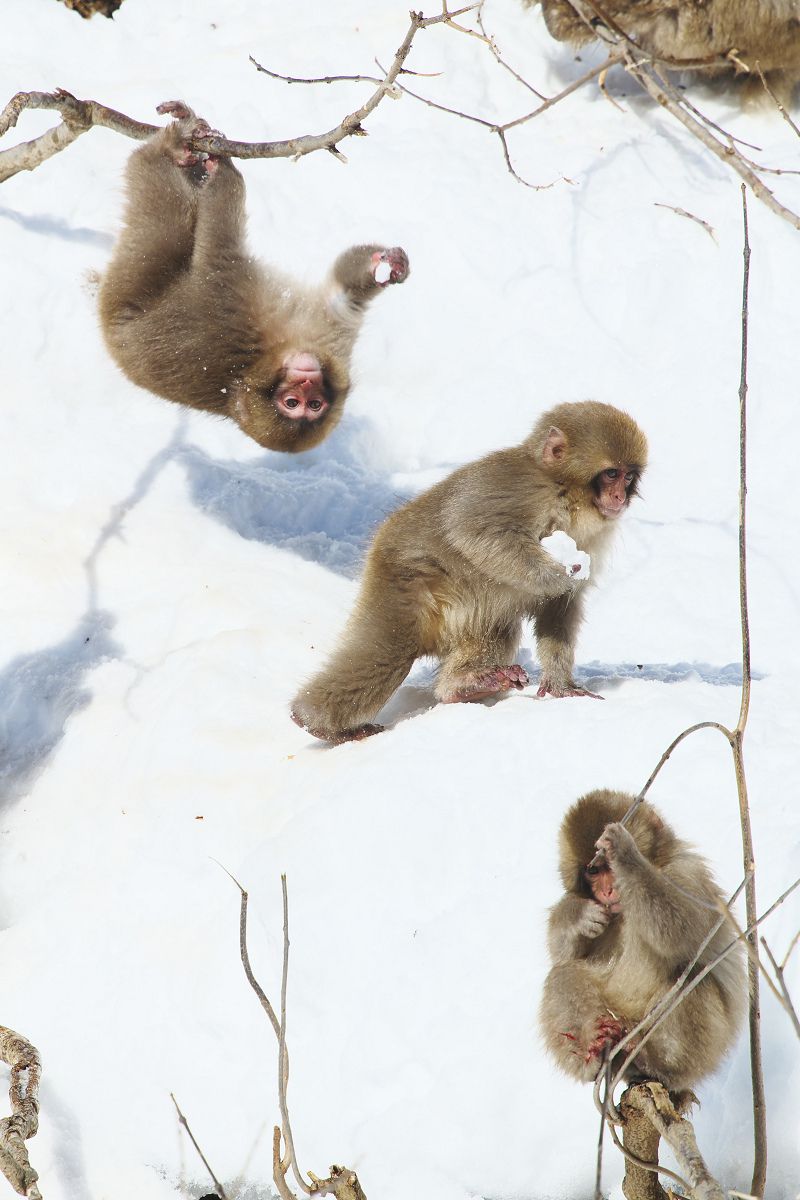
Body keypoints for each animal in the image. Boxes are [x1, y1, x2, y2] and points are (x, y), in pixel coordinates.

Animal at [99, 102, 410, 453]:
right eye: (293, 403)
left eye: (313, 405)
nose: (307, 380)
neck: (260, 359)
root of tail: (109, 328)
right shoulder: (235, 303)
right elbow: (220, 250)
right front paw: (383, 269)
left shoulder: (330, 344)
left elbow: (339, 298)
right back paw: (174, 149)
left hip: (134, 272)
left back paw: (168, 152)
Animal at [291, 400, 647, 743]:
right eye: (611, 473)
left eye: (628, 476)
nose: (618, 496)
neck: (567, 496)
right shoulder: (524, 488)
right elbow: (469, 528)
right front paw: (558, 575)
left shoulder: (593, 539)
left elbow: (559, 608)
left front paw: (561, 684)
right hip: (401, 578)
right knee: (388, 653)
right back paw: (315, 721)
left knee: (496, 627)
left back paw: (463, 686)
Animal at [540, 789, 747, 1092]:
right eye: (593, 871)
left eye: (609, 867)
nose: (608, 890)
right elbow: (563, 954)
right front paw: (577, 915)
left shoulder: (687, 874)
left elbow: (681, 926)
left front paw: (625, 853)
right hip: (613, 1016)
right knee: (563, 974)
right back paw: (592, 1053)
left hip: (704, 1049)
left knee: (692, 976)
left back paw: (657, 1063)